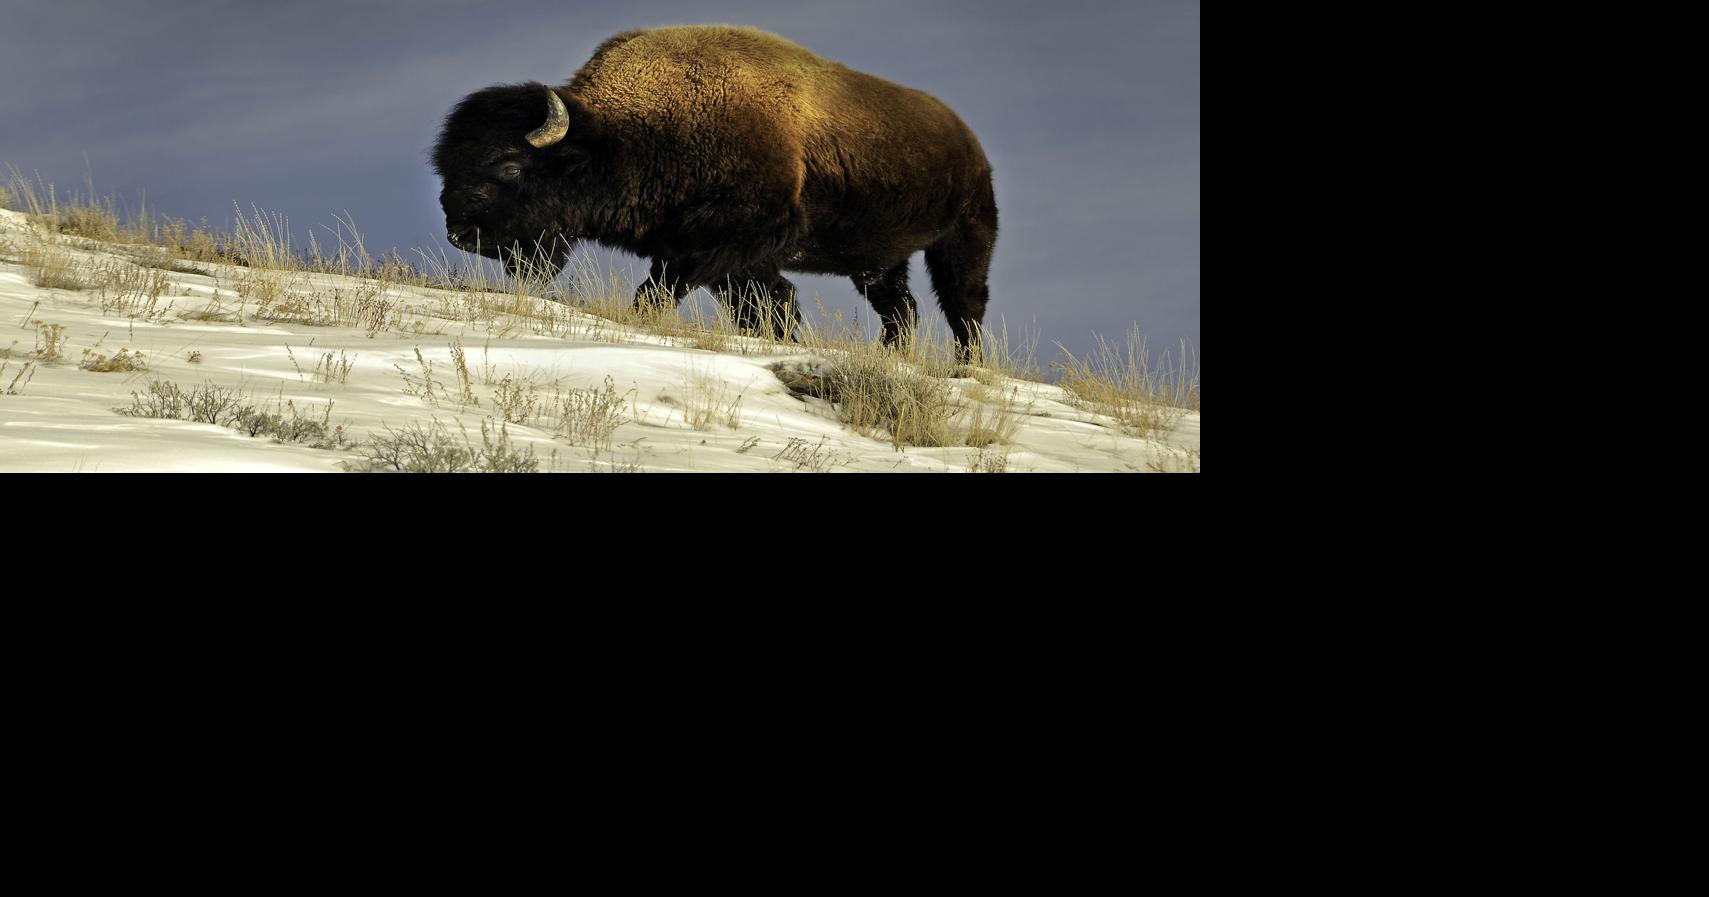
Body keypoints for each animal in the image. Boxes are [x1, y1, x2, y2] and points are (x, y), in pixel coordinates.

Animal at [431, 25, 997, 358]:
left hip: (965, 239)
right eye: (446, 166)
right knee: (900, 309)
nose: (460, 234)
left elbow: (666, 292)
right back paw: (891, 357)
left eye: (510, 168)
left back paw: (964, 366)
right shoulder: (730, 256)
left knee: (964, 306)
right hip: (879, 263)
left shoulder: (726, 242)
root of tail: (967, 141)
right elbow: (768, 303)